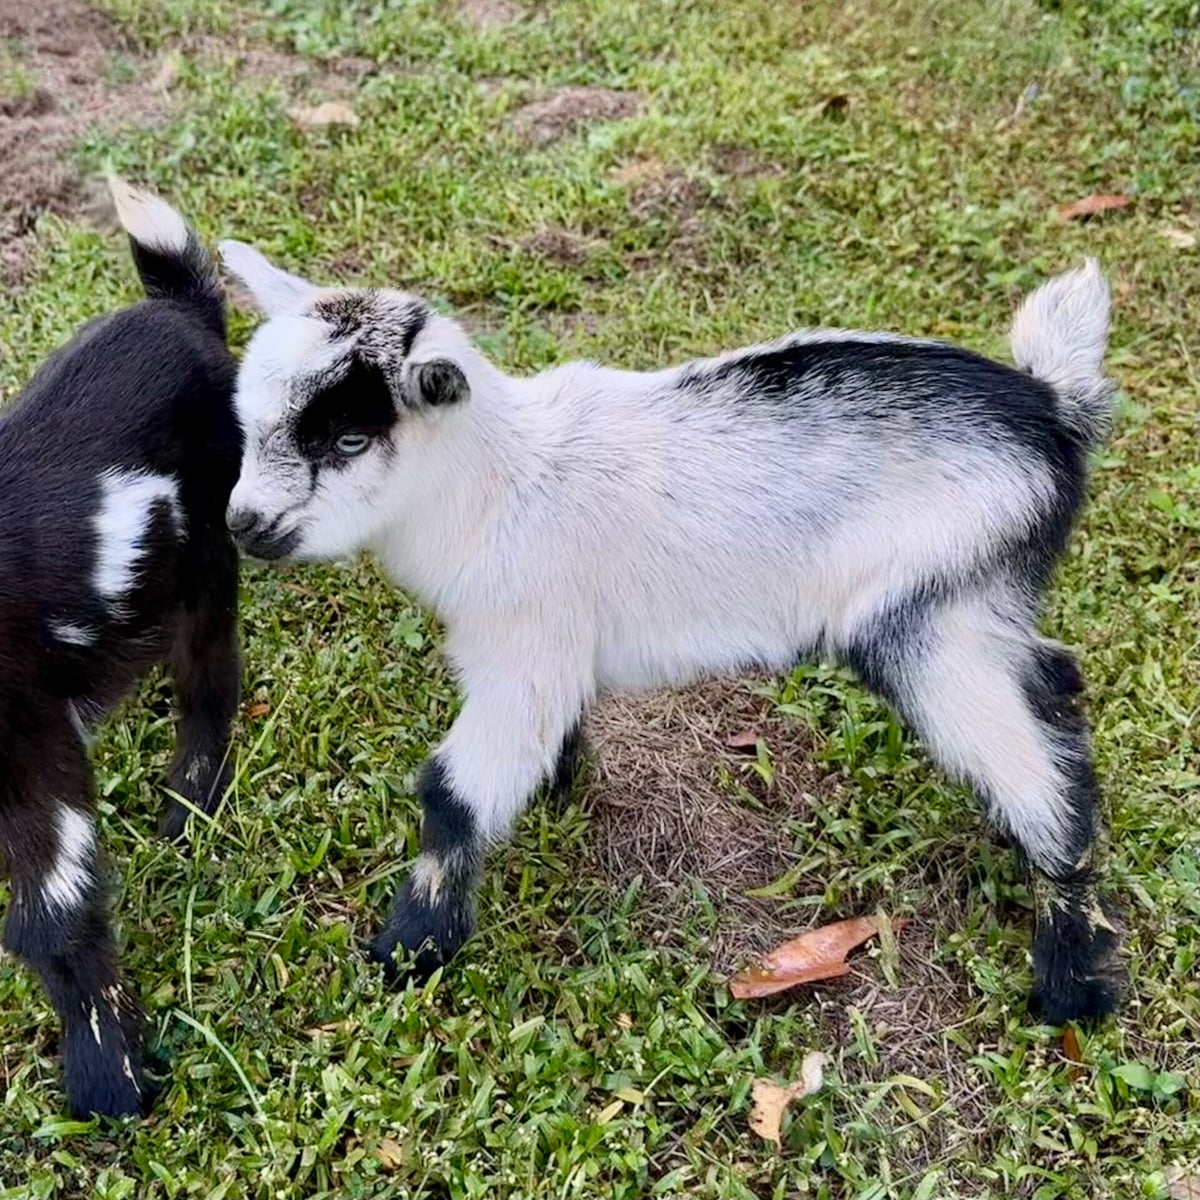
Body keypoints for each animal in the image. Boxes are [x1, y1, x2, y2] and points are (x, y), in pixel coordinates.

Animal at [0, 181, 241, 1117]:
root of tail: (179, 308)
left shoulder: (30, 742)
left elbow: (52, 917)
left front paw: (110, 1083)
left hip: (208, 548)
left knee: (211, 672)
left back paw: (190, 809)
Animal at [219, 239, 1118, 1024]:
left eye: (349, 439)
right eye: (248, 422)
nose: (244, 525)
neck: (501, 482)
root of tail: (1052, 403)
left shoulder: (526, 646)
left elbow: (452, 795)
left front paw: (409, 949)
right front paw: (557, 788)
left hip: (921, 610)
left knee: (1046, 778)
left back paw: (1072, 981)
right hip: (979, 591)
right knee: (1053, 680)